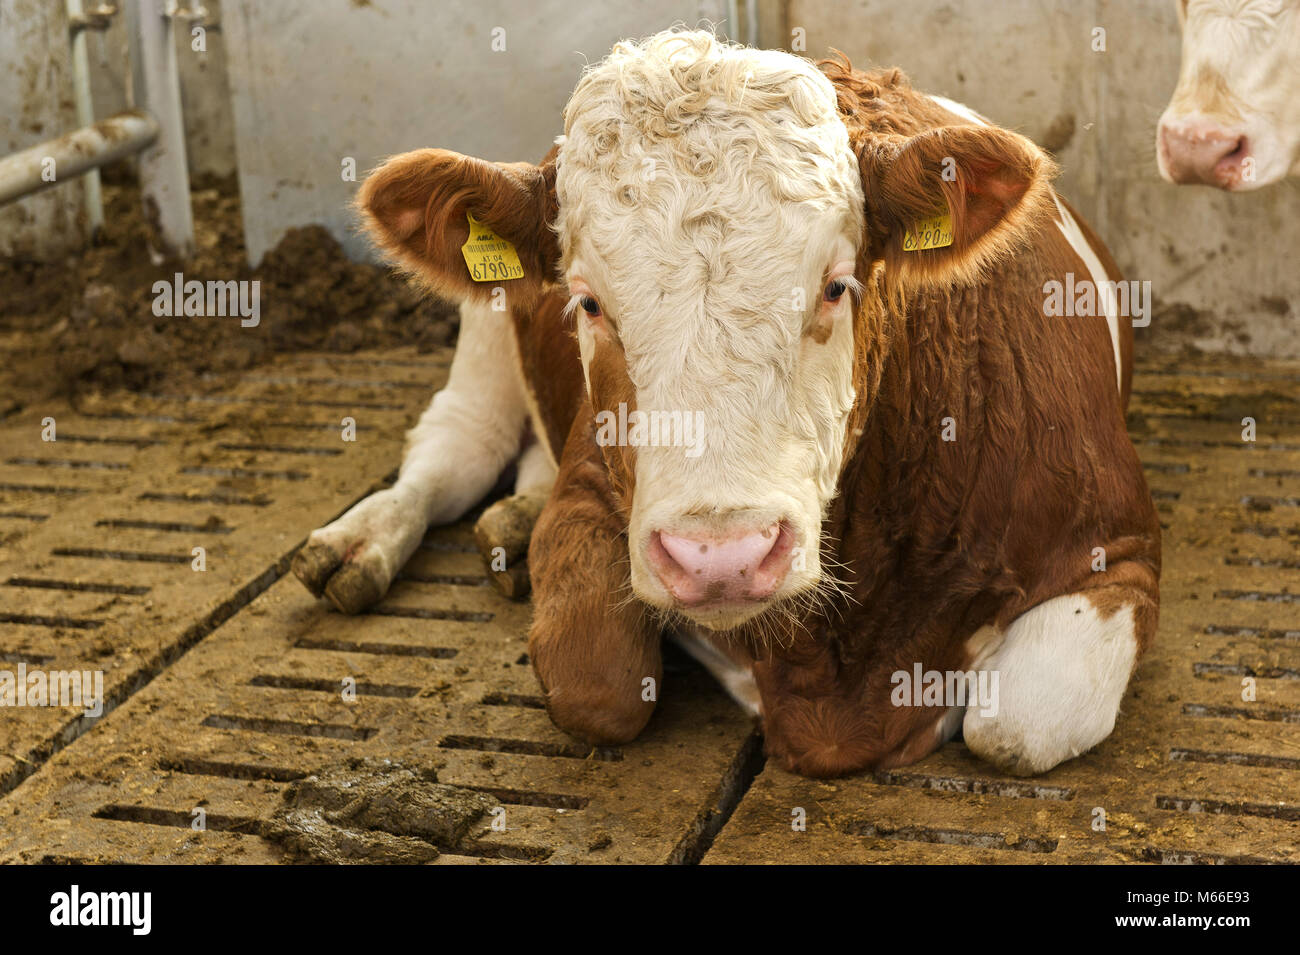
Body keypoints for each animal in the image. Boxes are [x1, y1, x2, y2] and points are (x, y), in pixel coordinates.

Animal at [293, 30, 1161, 778]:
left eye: (836, 284)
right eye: (587, 301)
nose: (722, 557)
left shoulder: (1118, 546)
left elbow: (1016, 726)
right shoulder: (595, 479)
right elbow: (593, 680)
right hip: (481, 340)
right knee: (451, 454)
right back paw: (358, 544)